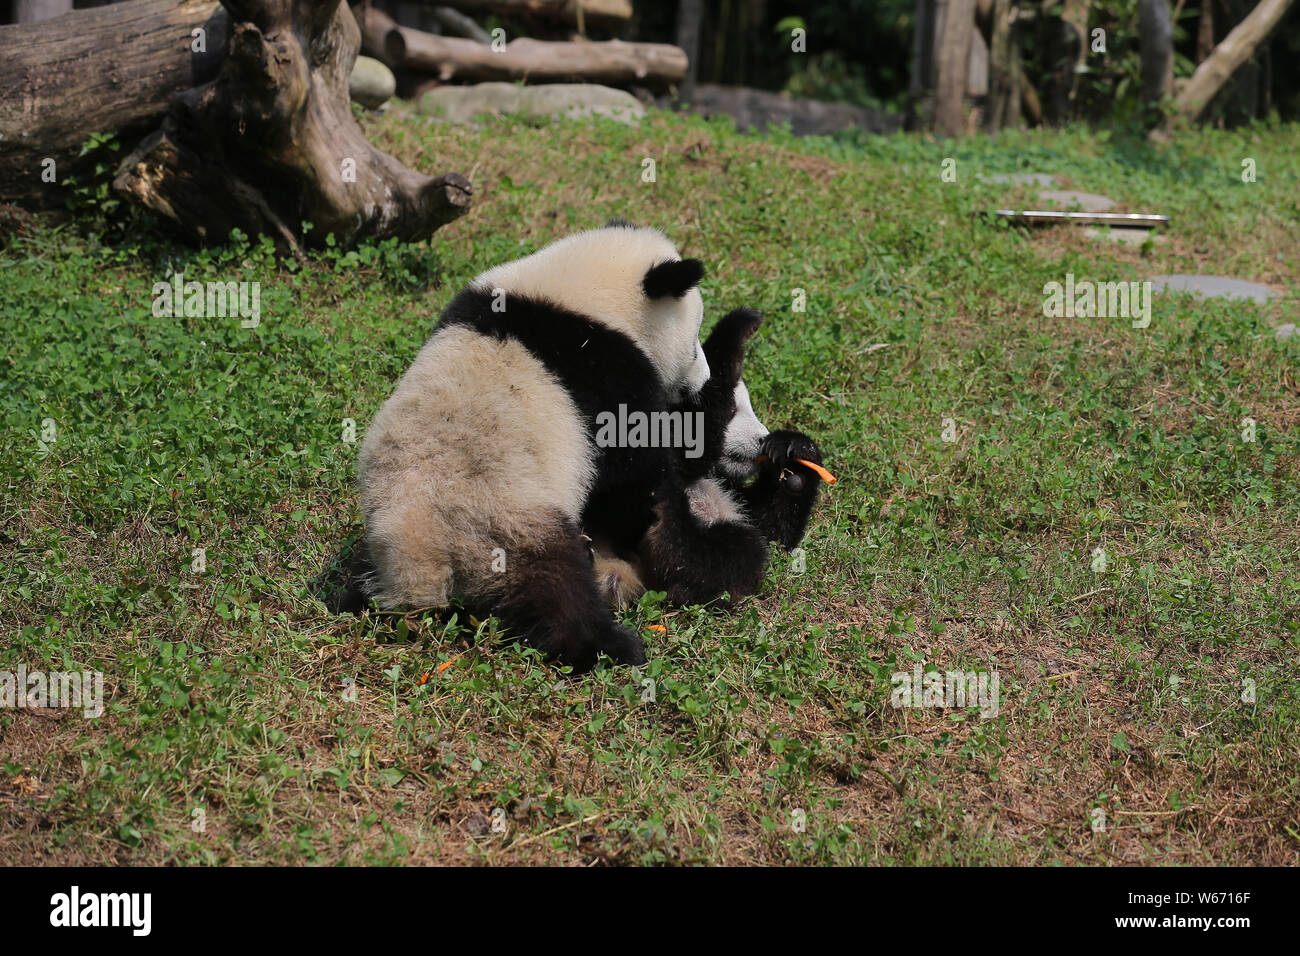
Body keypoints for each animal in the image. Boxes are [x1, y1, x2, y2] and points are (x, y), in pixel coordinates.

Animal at [355, 223, 715, 672]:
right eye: (696, 337)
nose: (703, 381)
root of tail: (424, 560)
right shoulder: (609, 374)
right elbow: (632, 474)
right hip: (509, 529)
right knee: (557, 590)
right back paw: (610, 646)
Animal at [590, 307, 827, 609]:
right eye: (734, 410)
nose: (761, 439)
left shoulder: (729, 488)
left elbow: (770, 530)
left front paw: (793, 457)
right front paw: (736, 334)